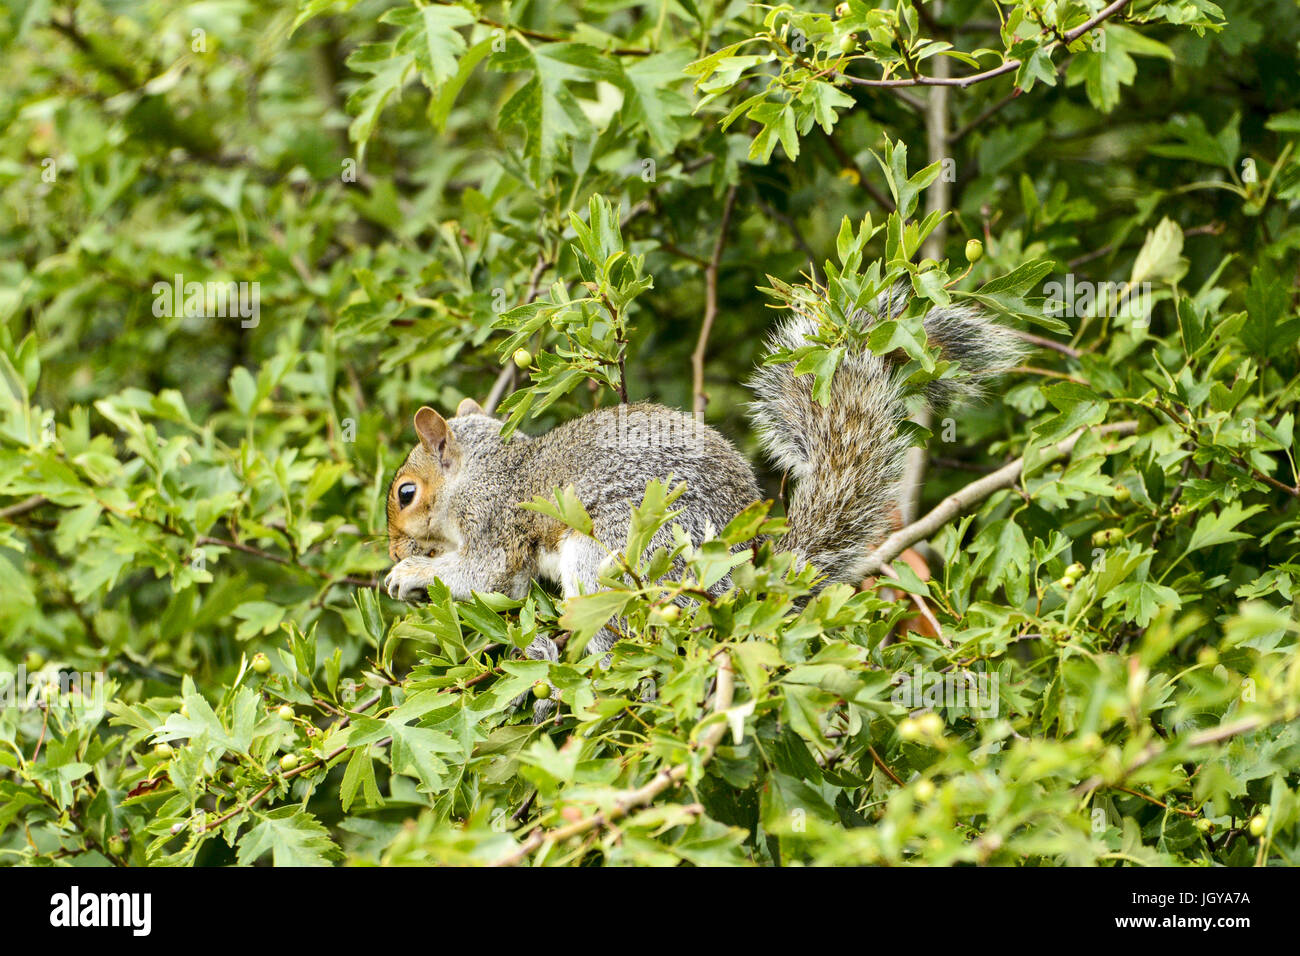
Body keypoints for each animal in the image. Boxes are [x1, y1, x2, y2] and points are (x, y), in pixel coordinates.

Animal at [384, 286, 1024, 670]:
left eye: (405, 494)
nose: (390, 547)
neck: (484, 469)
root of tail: (742, 577)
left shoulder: (496, 522)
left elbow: (488, 576)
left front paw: (410, 573)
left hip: (620, 555)